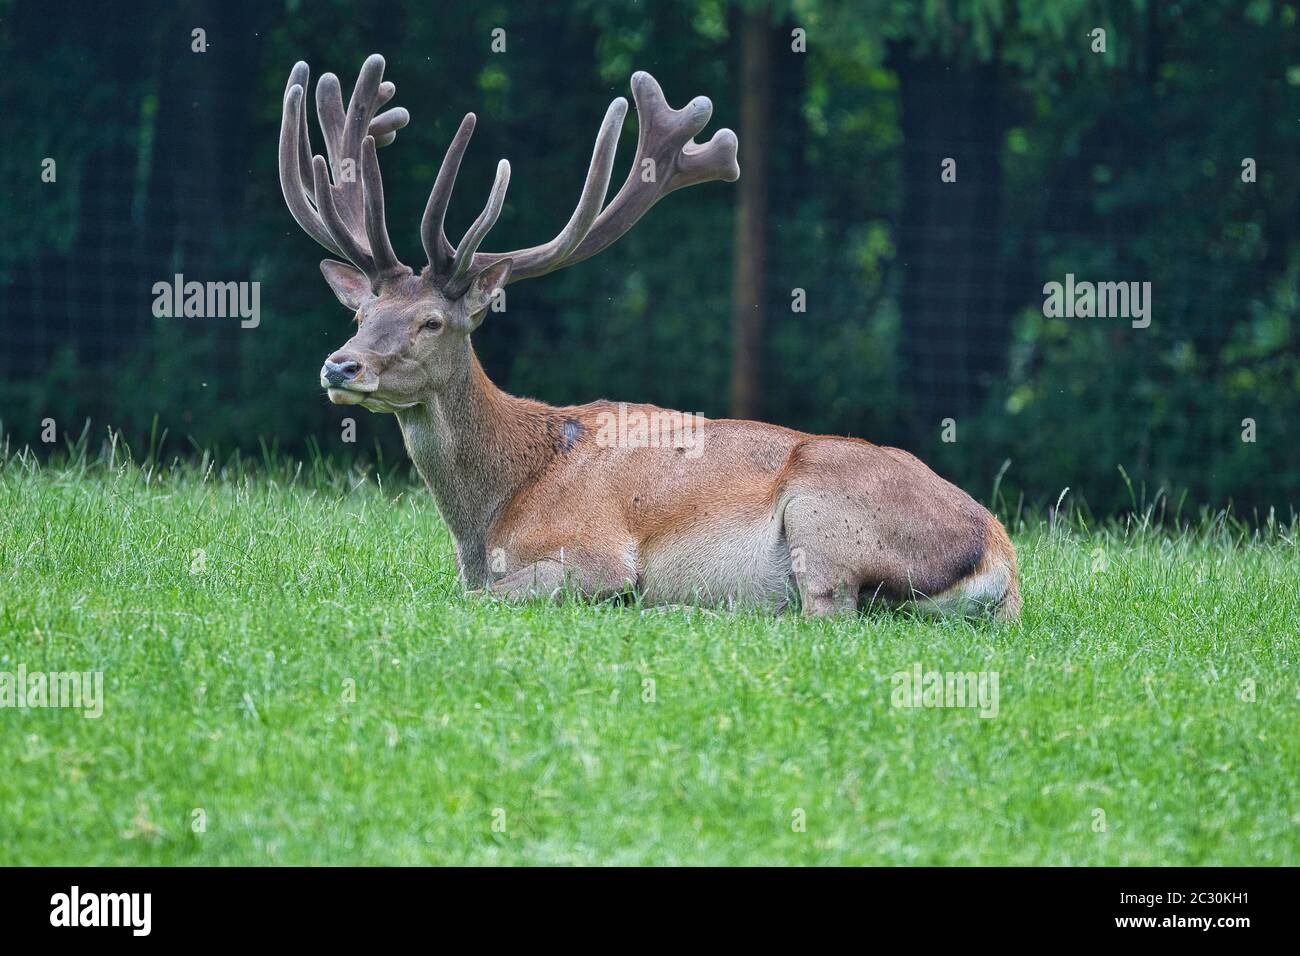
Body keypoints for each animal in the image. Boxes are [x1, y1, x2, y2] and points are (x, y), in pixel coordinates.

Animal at [278, 54, 1021, 620]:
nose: (340, 366)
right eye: (360, 315)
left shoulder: (590, 552)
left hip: (826, 513)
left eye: (432, 321)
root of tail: (1003, 561)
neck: (493, 513)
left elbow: (470, 598)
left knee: (826, 611)